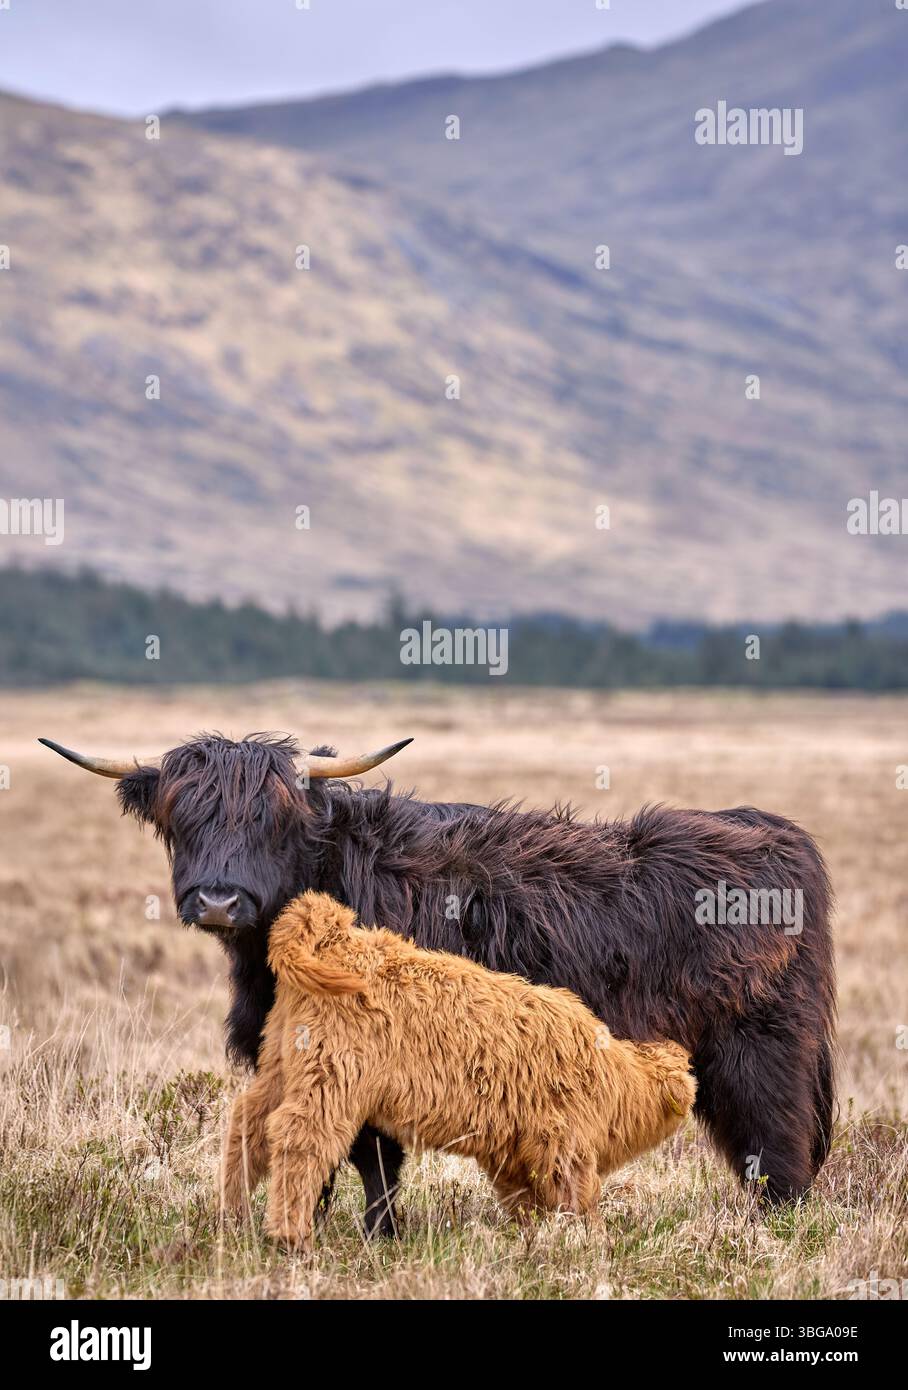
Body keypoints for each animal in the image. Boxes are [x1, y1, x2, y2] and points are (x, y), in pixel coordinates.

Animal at [40, 732, 836, 1233]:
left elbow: (370, 1155)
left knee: (778, 1141)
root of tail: (776, 833)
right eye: (182, 818)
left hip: (760, 1048)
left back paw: (776, 1230)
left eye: (270, 820)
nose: (216, 899)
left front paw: (375, 1236)